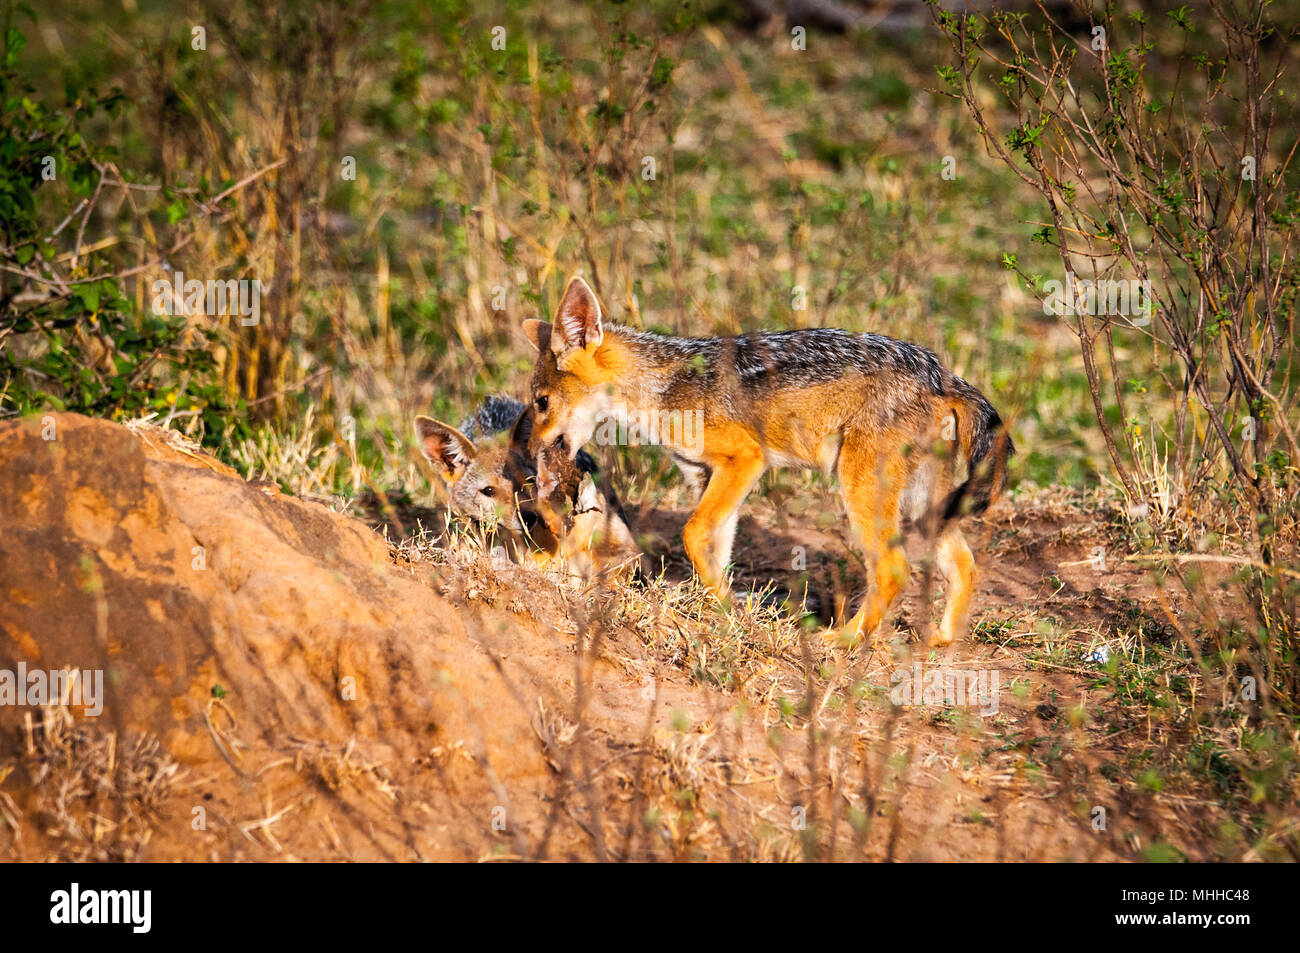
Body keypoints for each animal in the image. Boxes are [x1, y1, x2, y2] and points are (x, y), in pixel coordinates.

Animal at [522, 276, 1014, 647]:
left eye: (541, 402)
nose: (527, 453)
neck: (662, 390)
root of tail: (941, 372)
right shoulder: (707, 475)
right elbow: (716, 549)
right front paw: (720, 607)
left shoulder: (745, 460)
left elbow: (692, 532)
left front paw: (723, 607)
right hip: (923, 505)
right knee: (964, 563)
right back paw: (943, 639)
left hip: (862, 492)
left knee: (894, 570)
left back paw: (844, 640)